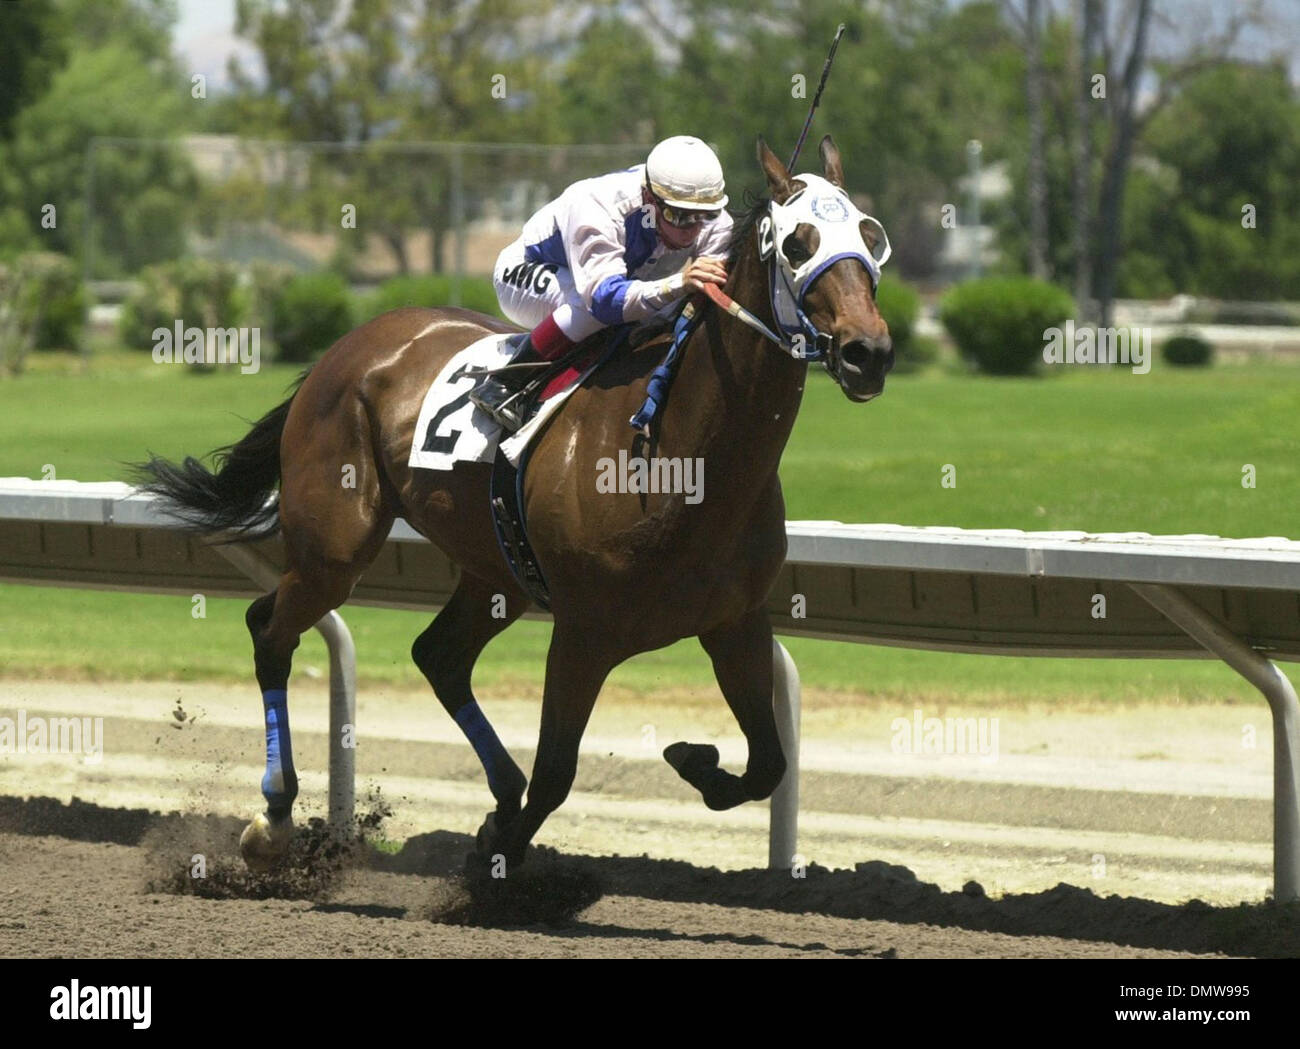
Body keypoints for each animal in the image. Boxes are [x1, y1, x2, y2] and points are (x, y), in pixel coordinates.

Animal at [135, 135, 893, 873]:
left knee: (435, 655)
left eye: (870, 234)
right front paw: (497, 853)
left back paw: (497, 790)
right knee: (272, 632)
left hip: (495, 568)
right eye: (797, 243)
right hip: (335, 549)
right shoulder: (585, 632)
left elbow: (769, 762)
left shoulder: (735, 621)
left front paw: (692, 760)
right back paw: (274, 817)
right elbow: (557, 772)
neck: (683, 455)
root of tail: (344, 349)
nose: (870, 353)